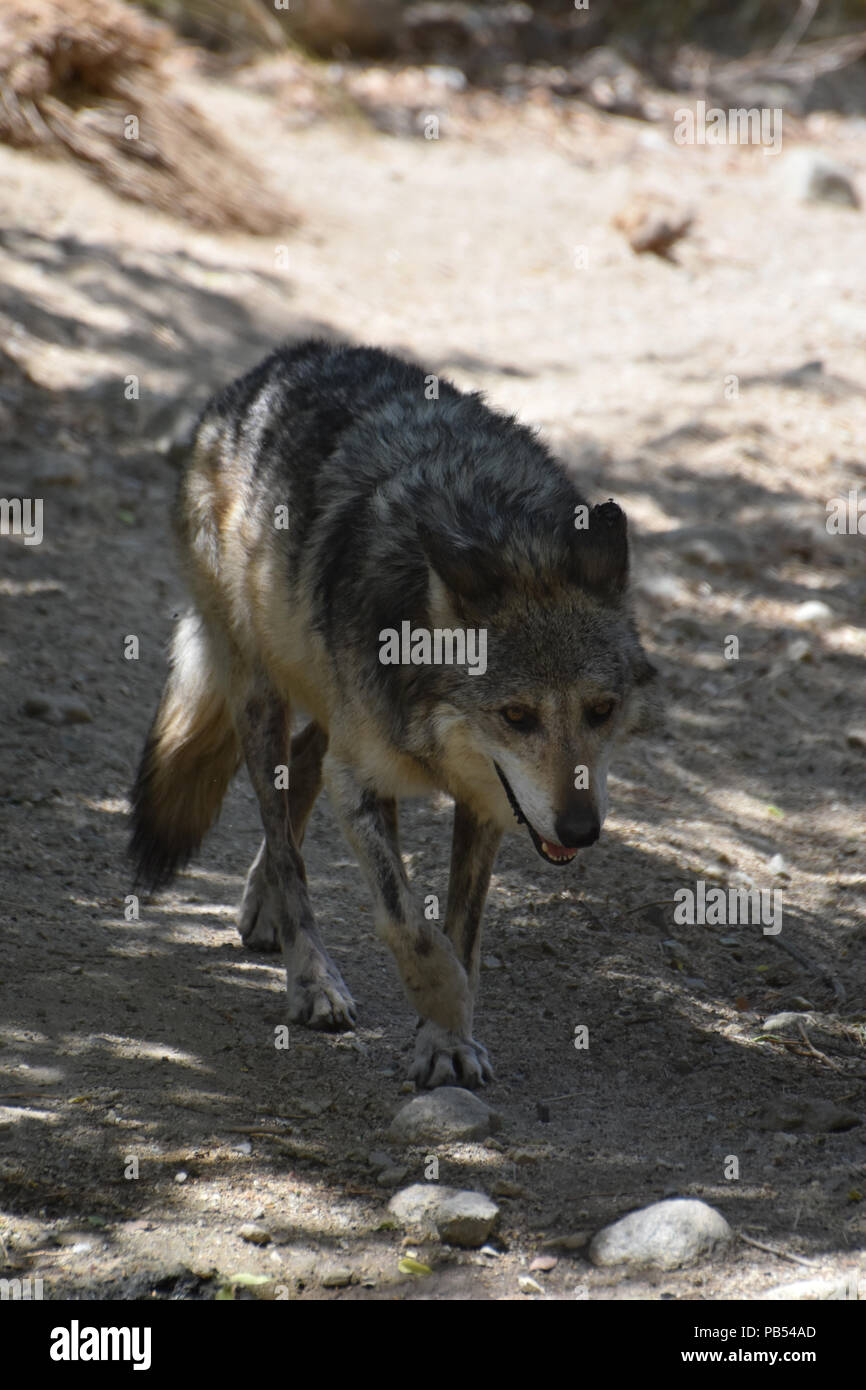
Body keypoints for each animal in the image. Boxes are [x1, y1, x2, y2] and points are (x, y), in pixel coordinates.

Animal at [130, 339, 656, 1088]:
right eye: (516, 715)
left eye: (601, 709)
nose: (581, 831)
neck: (504, 529)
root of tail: (274, 363)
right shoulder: (365, 783)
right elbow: (412, 926)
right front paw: (445, 1017)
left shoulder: (487, 803)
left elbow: (461, 931)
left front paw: (445, 1038)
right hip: (261, 696)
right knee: (284, 834)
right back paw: (311, 978)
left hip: (328, 702)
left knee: (305, 768)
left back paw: (262, 905)